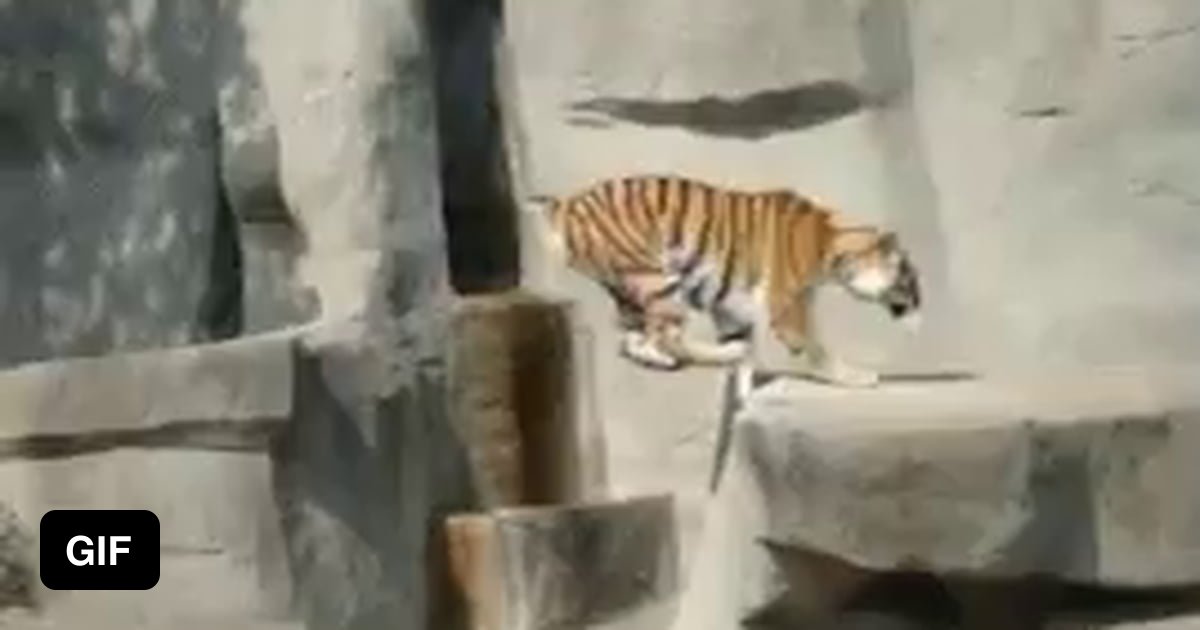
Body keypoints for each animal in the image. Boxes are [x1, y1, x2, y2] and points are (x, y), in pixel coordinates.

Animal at [529, 174, 922, 389]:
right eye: (908, 280)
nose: (919, 311)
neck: (829, 246)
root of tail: (565, 205)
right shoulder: (789, 307)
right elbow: (813, 346)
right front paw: (855, 376)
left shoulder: (730, 304)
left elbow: (740, 340)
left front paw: (745, 381)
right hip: (656, 279)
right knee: (667, 336)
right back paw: (710, 353)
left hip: (626, 289)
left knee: (632, 339)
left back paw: (670, 357)